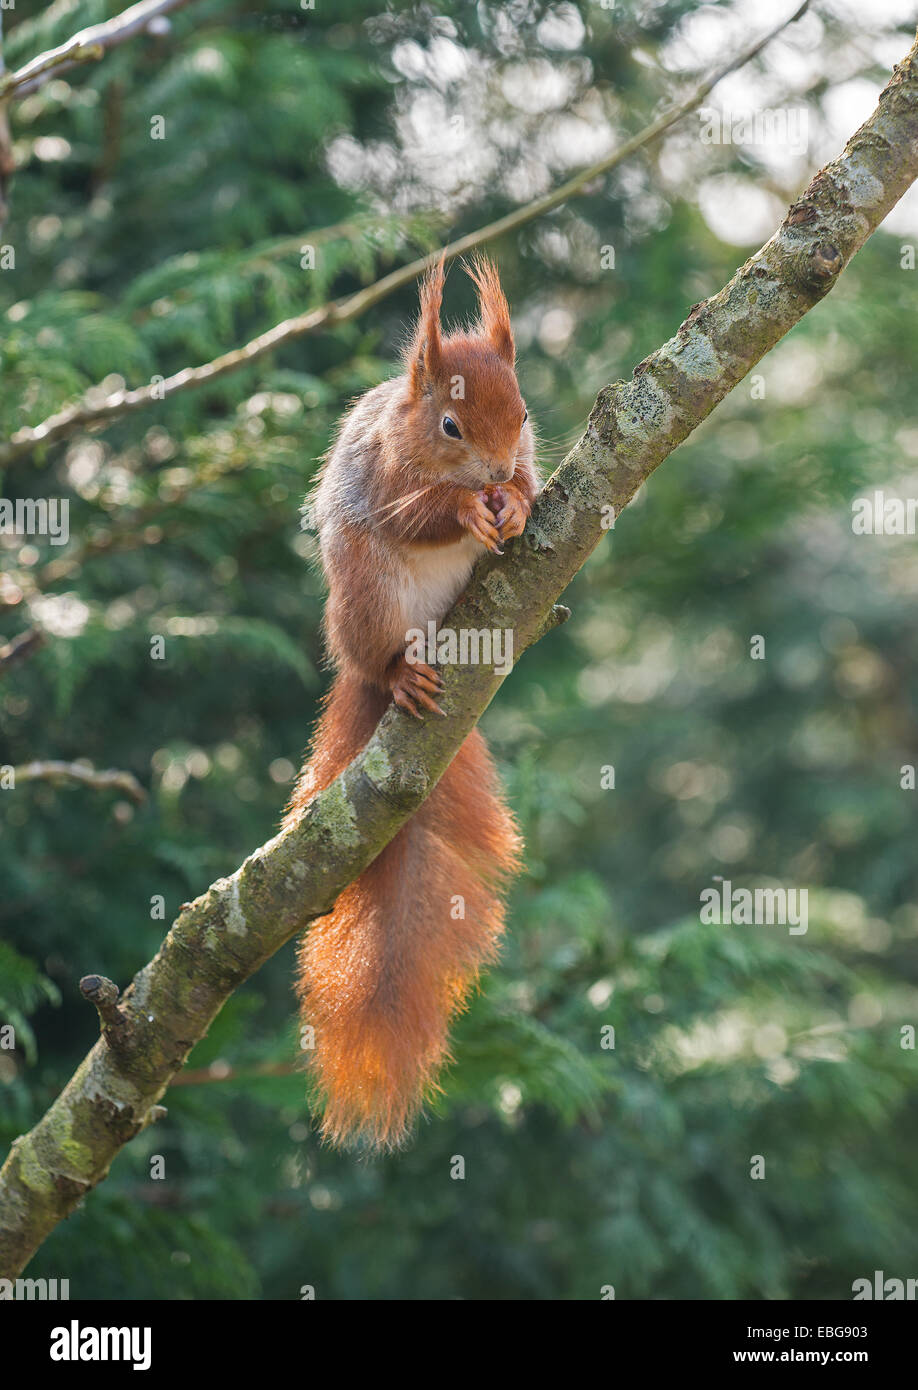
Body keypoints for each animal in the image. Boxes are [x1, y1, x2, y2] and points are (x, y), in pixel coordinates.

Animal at [284, 255, 539, 1150]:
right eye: (452, 426)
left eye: (524, 412)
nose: (495, 475)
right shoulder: (384, 481)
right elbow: (419, 513)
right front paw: (465, 508)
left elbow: (537, 484)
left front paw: (519, 501)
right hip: (366, 596)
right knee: (381, 652)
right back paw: (399, 674)